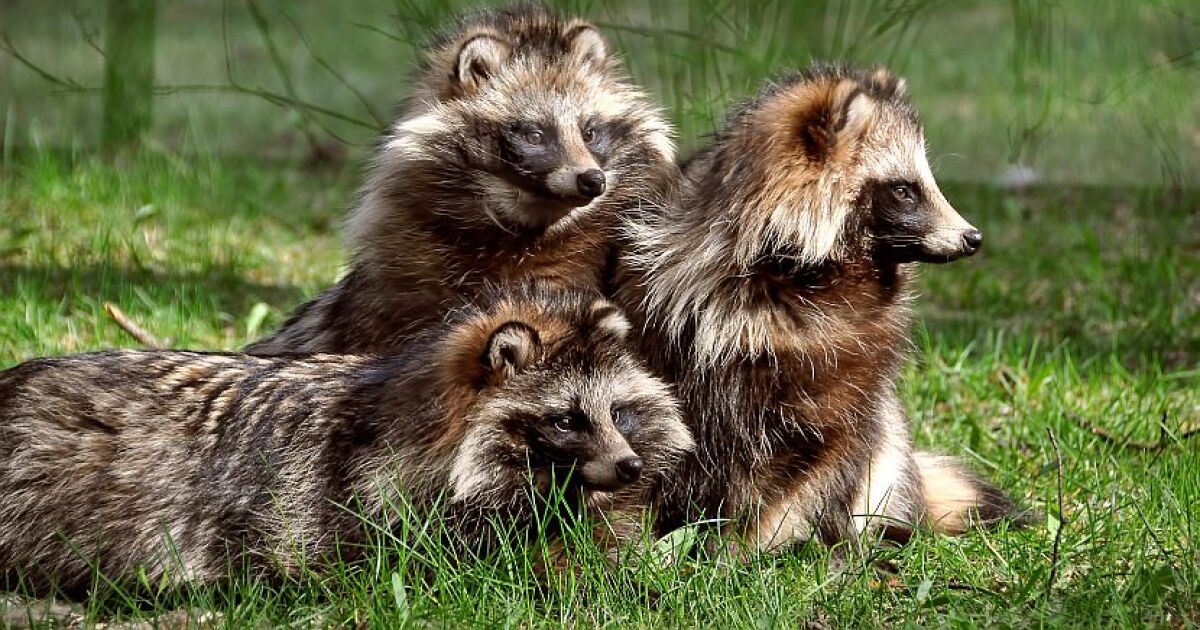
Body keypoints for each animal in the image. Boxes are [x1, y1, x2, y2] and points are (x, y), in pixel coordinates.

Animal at [615, 64, 1029, 551]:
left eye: (922, 185)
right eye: (904, 191)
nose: (972, 238)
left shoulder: (849, 369)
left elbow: (821, 453)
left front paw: (750, 543)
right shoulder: (674, 325)